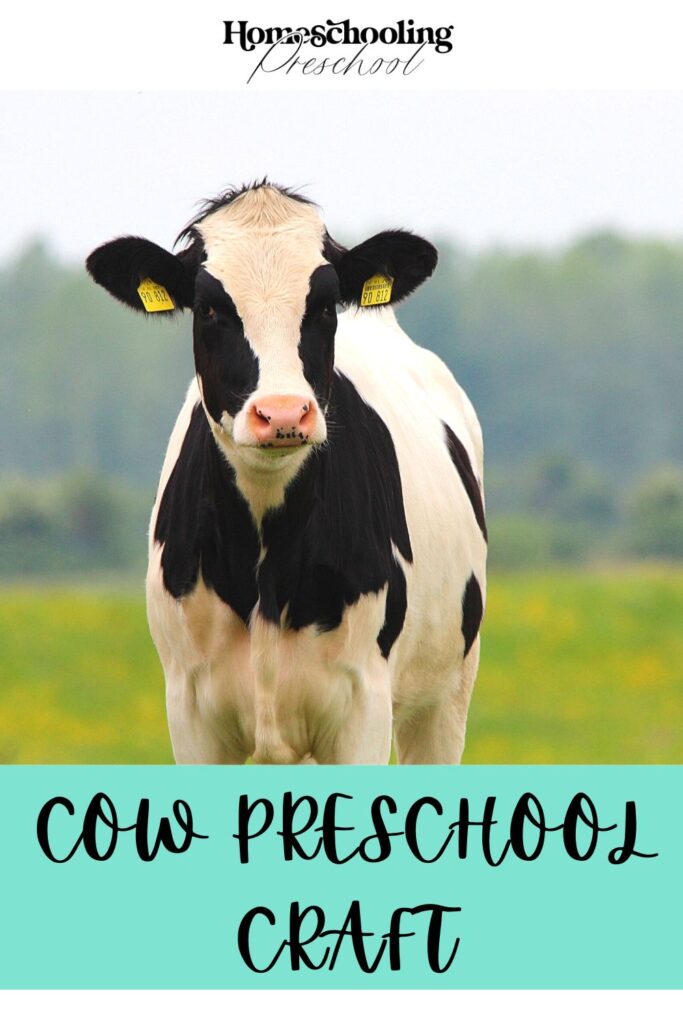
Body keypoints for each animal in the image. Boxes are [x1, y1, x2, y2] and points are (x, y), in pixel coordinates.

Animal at [86, 181, 486, 765]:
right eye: (208, 307)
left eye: (322, 305)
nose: (281, 413)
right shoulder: (189, 711)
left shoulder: (364, 706)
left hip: (446, 695)